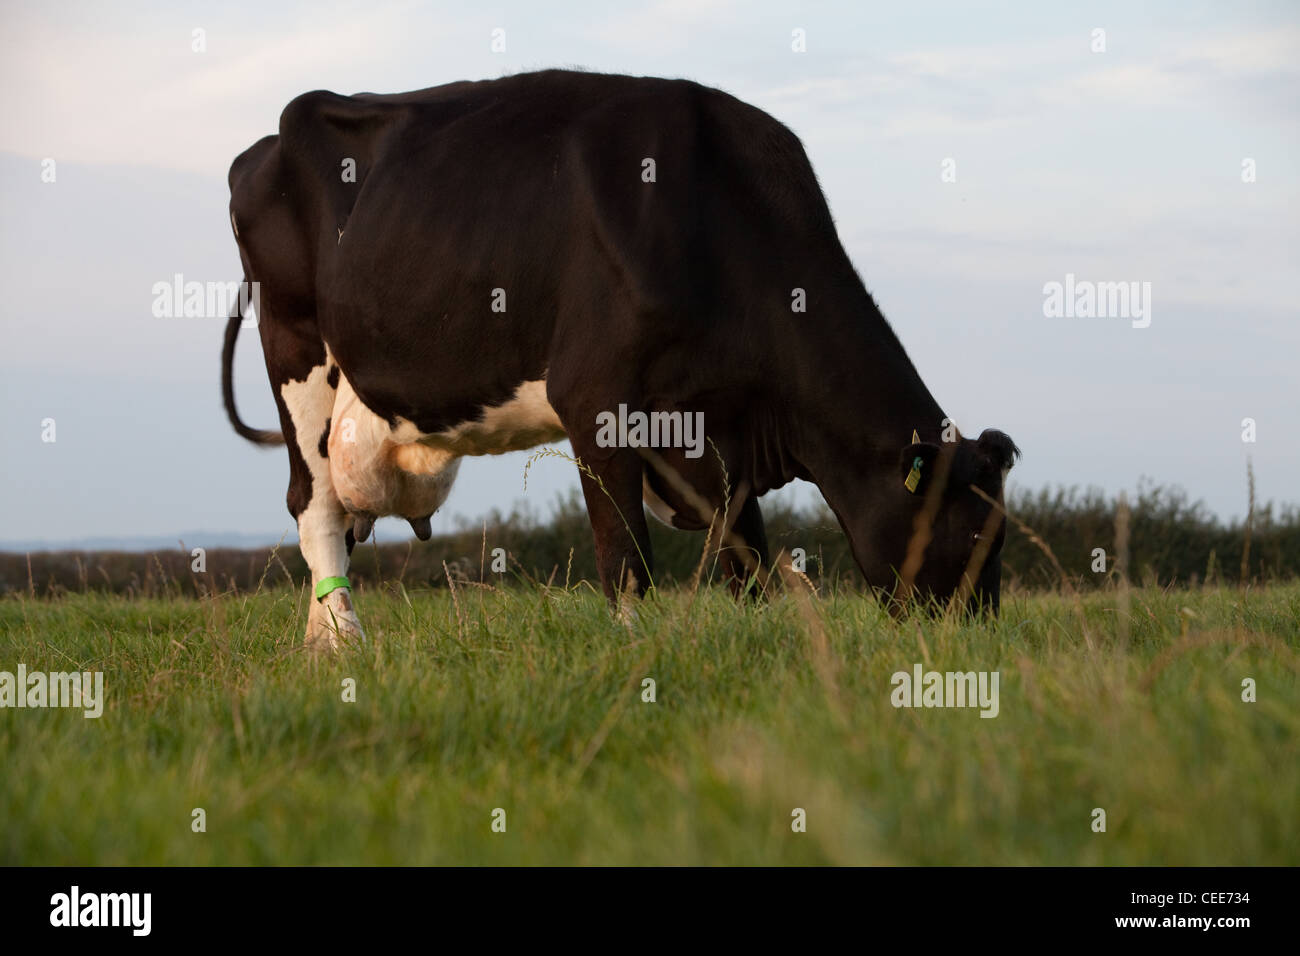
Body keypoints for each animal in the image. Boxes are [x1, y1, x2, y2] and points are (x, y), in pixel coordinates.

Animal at [222, 69, 1019, 649]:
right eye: (965, 531)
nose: (977, 639)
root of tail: (263, 144)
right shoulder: (596, 403)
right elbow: (628, 558)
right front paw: (637, 658)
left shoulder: (715, 436)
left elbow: (747, 556)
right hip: (295, 350)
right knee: (314, 506)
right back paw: (342, 643)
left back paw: (317, 639)